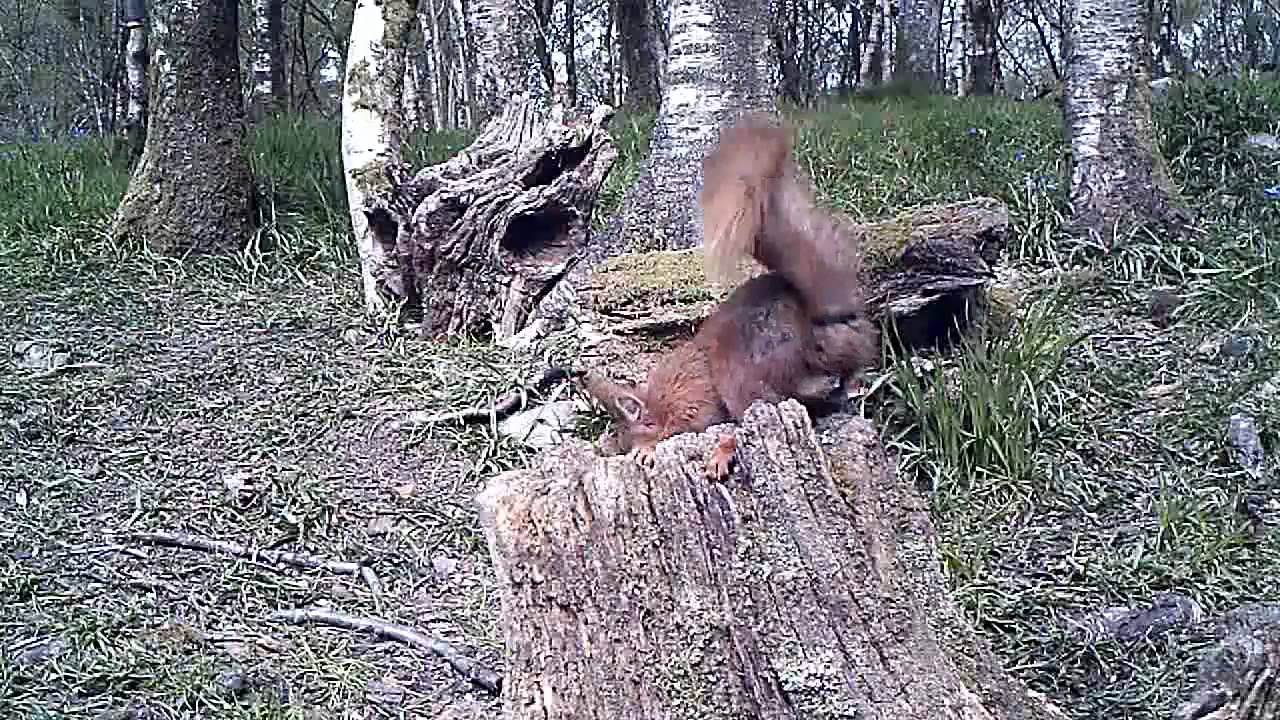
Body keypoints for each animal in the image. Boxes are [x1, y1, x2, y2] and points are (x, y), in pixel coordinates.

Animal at [583, 111, 880, 480]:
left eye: (623, 435)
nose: (603, 449)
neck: (659, 401)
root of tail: (822, 319)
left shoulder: (692, 404)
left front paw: (647, 451)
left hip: (745, 370)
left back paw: (721, 454)